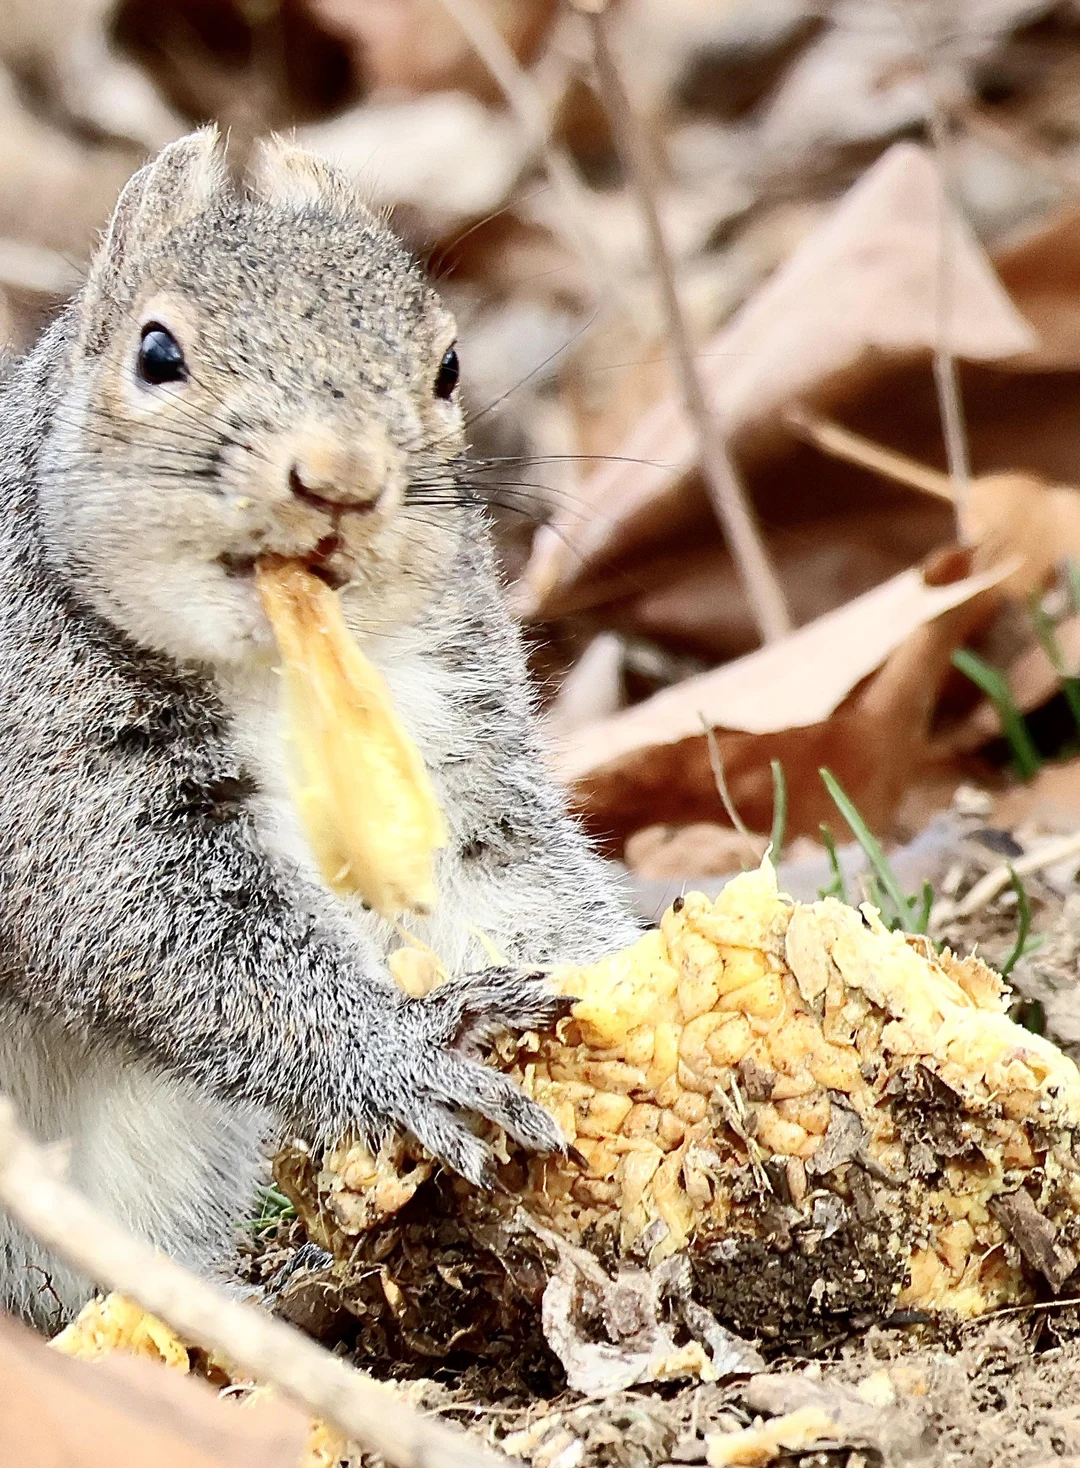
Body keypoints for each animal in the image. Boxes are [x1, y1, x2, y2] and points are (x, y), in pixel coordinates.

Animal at [0, 128, 639, 1327]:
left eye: (447, 366)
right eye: (156, 352)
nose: (340, 479)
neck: (273, 666)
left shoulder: (447, 728)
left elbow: (508, 882)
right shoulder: (47, 764)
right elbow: (162, 928)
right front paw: (411, 1054)